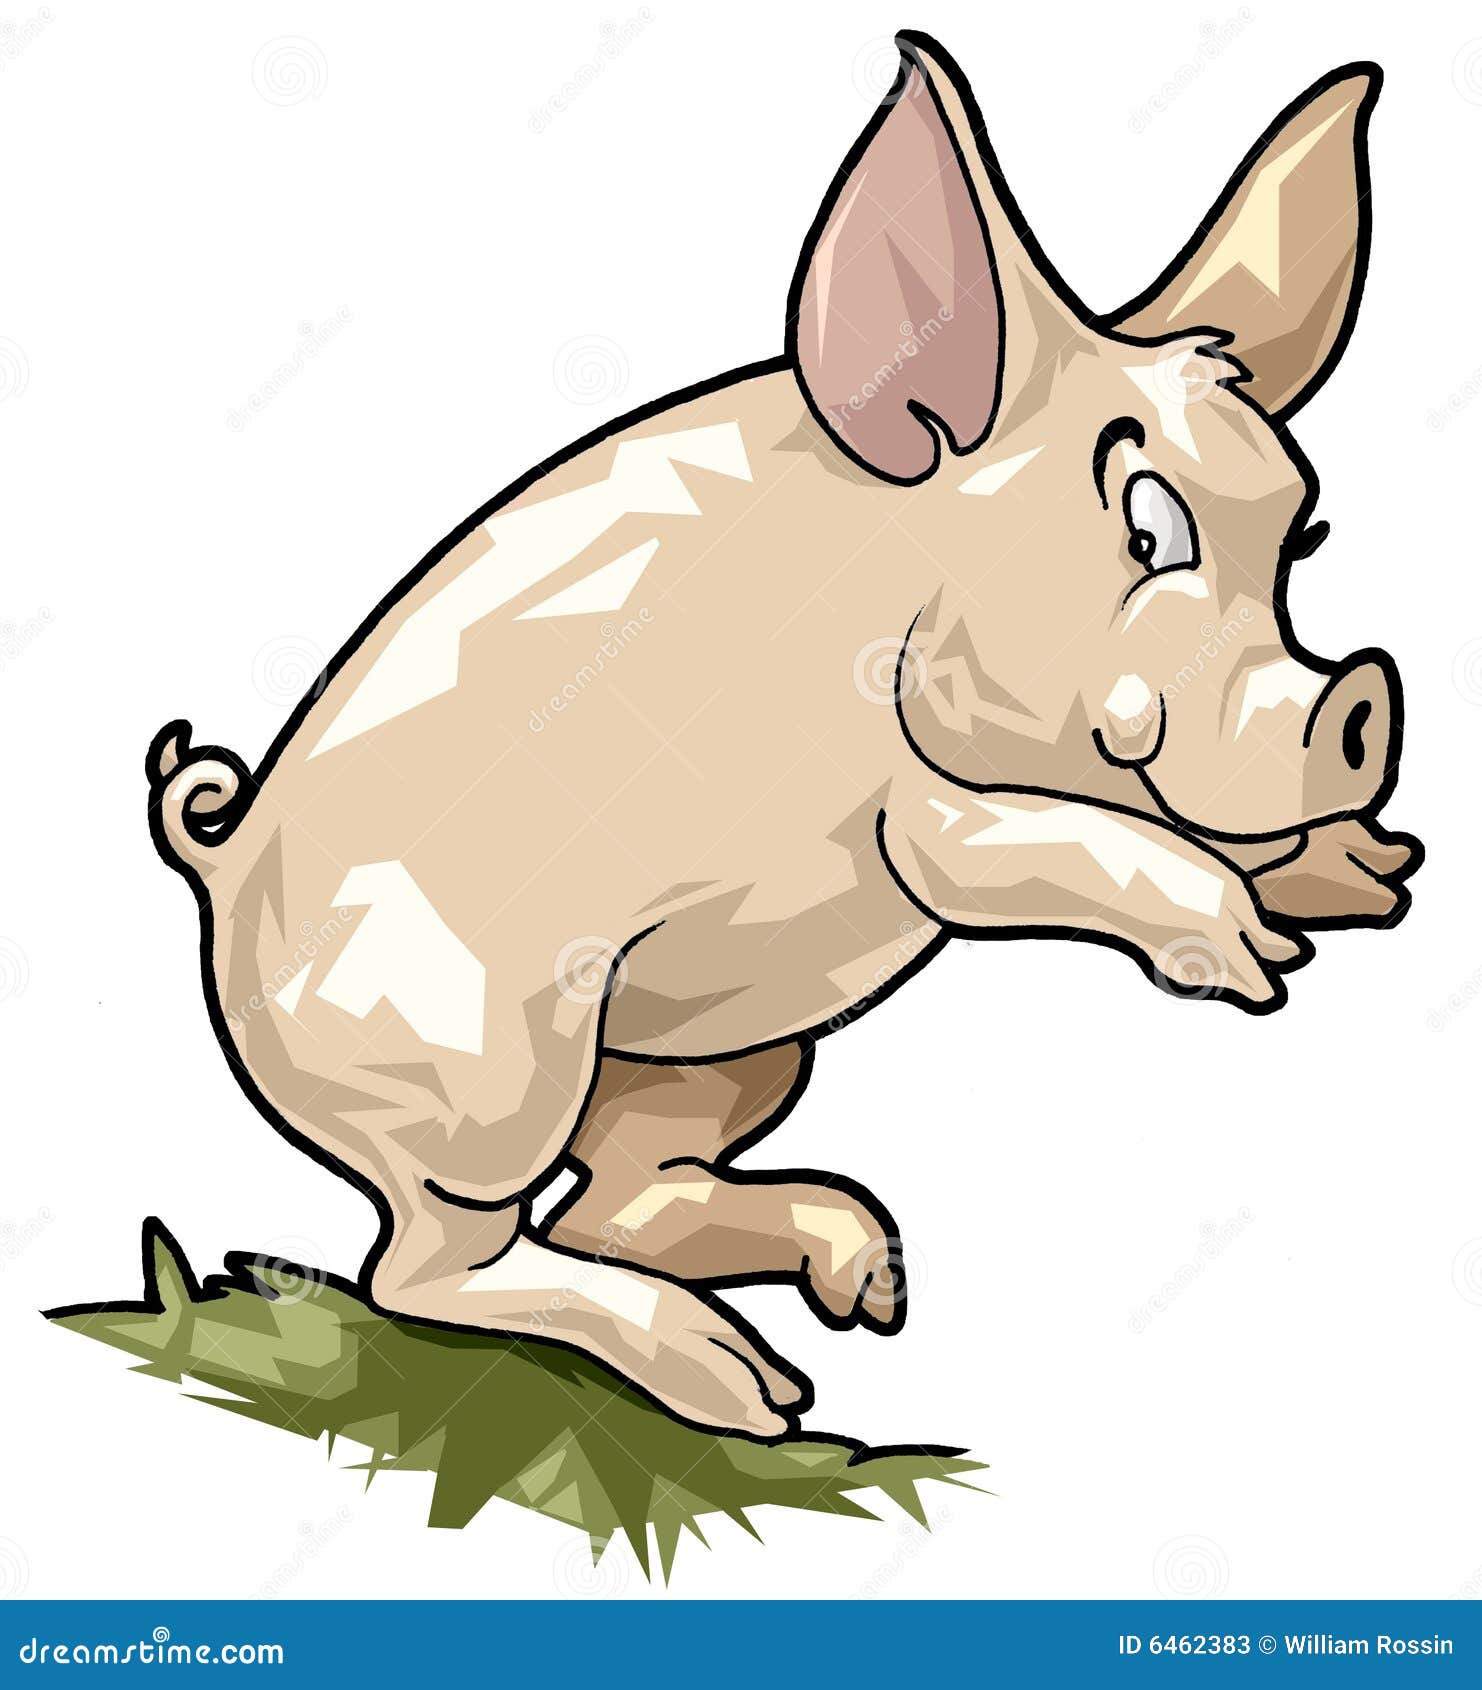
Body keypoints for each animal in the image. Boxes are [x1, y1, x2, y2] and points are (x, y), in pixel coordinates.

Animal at [150, 33, 1419, 1438]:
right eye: (1149, 532)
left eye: (1304, 536)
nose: (1363, 699)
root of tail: (221, 869)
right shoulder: (918, 810)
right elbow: (1030, 847)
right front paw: (1258, 959)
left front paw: (1372, 879)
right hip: (484, 1066)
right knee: (423, 1268)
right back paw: (753, 1393)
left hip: (727, 1050)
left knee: (611, 1198)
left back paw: (861, 1281)